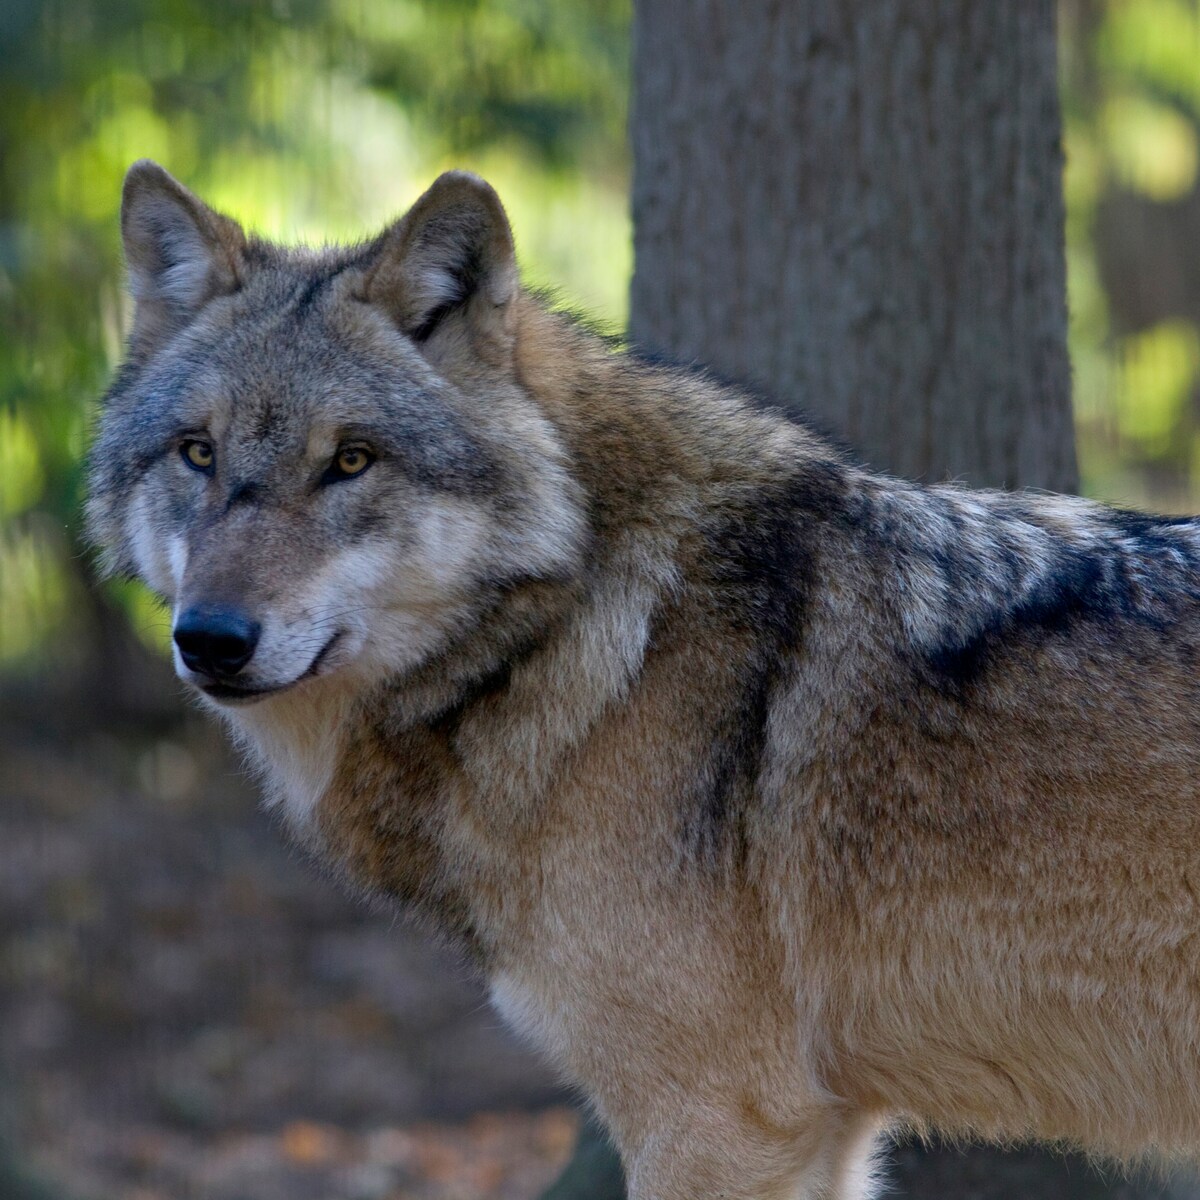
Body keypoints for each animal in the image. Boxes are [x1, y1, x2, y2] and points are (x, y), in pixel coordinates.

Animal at [87, 160, 1200, 1199]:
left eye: (350, 461)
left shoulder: (718, 1120)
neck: (587, 630)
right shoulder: (812, 1129)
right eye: (196, 453)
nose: (211, 639)